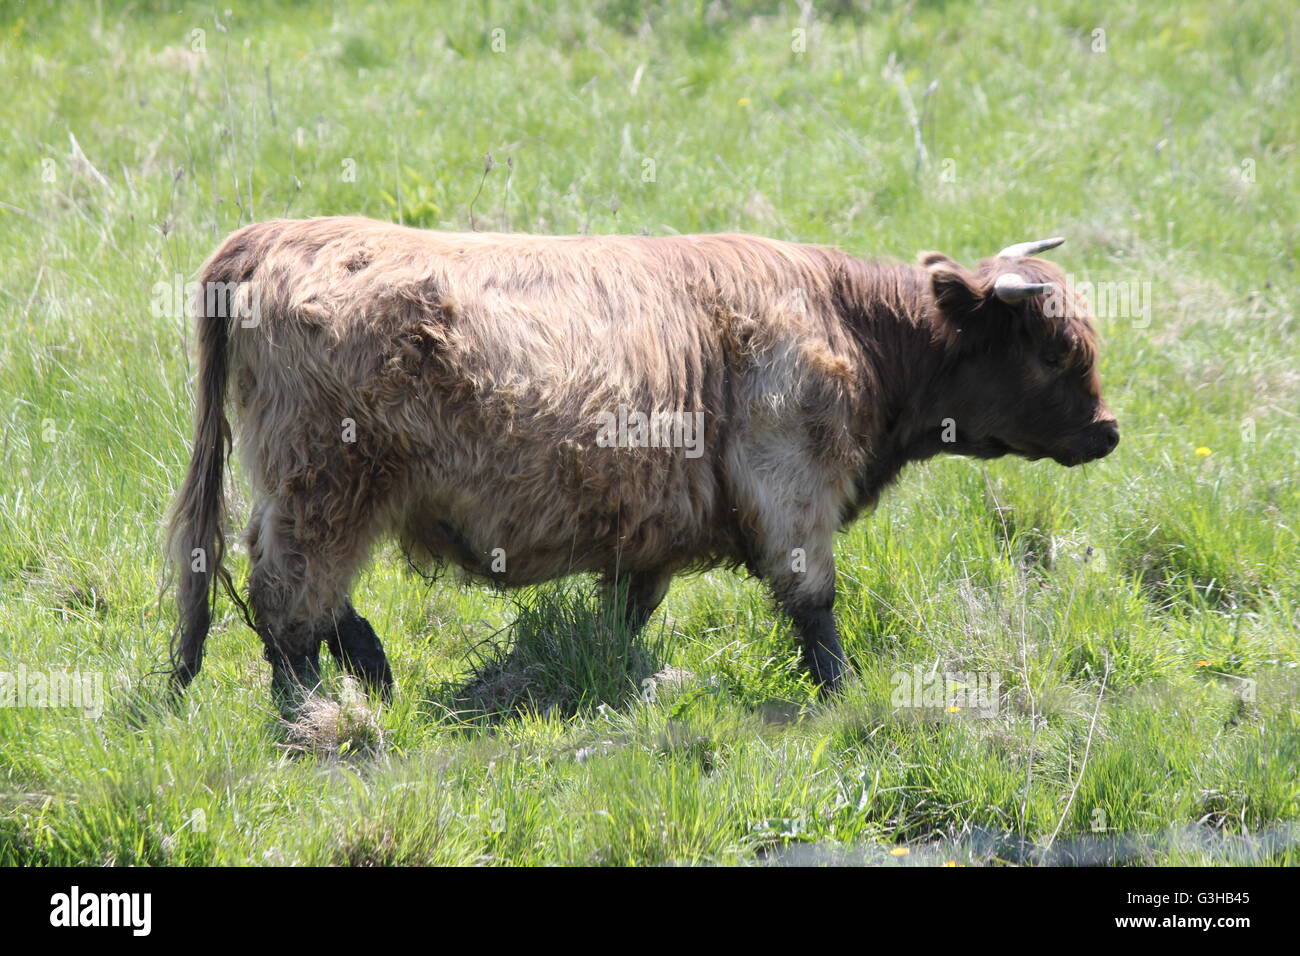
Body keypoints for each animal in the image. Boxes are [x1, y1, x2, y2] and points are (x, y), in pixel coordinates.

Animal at [165, 219, 1118, 713]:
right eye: (1054, 352)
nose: (1108, 431)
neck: (855, 329)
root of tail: (284, 231)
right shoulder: (791, 486)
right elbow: (814, 605)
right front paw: (842, 695)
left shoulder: (650, 533)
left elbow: (623, 617)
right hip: (327, 484)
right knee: (288, 601)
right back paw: (314, 714)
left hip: (307, 486)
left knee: (296, 589)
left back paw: (371, 670)